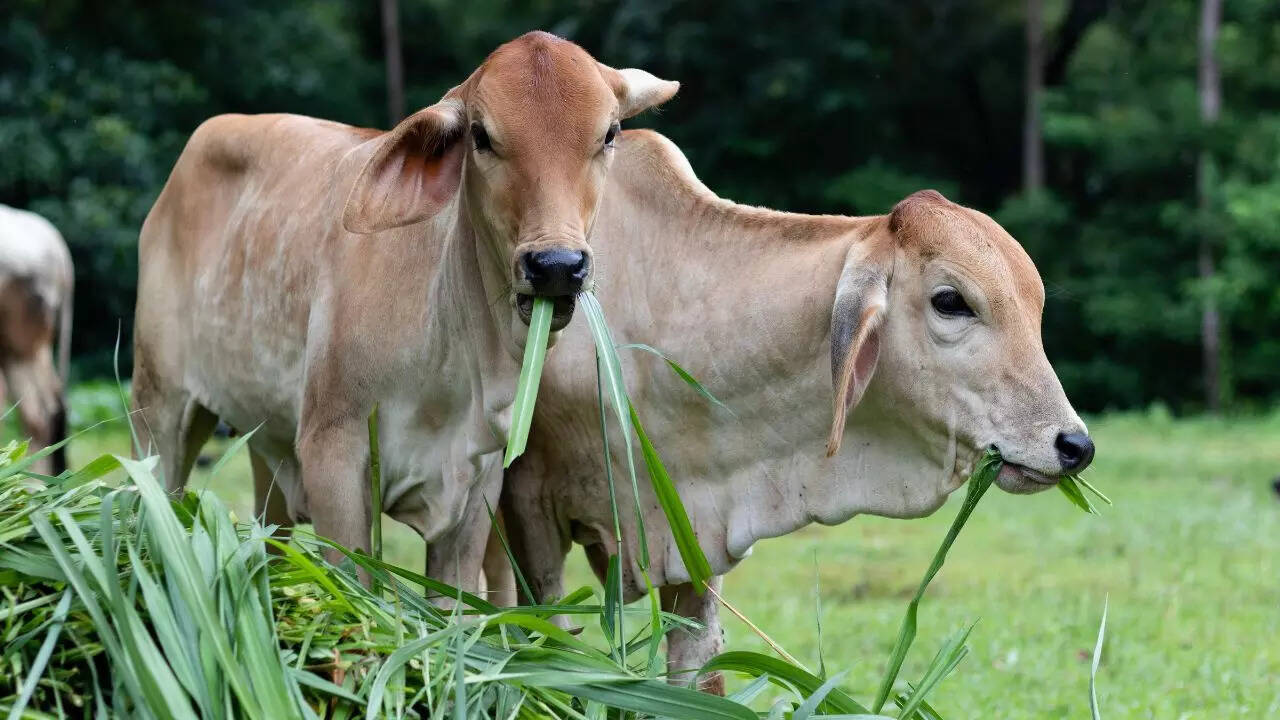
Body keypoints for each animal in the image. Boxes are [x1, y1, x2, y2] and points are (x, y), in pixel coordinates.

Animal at [131, 32, 678, 590]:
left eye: (609, 133)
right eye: (481, 136)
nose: (556, 266)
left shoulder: (476, 483)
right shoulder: (332, 452)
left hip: (269, 445)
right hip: (157, 409)